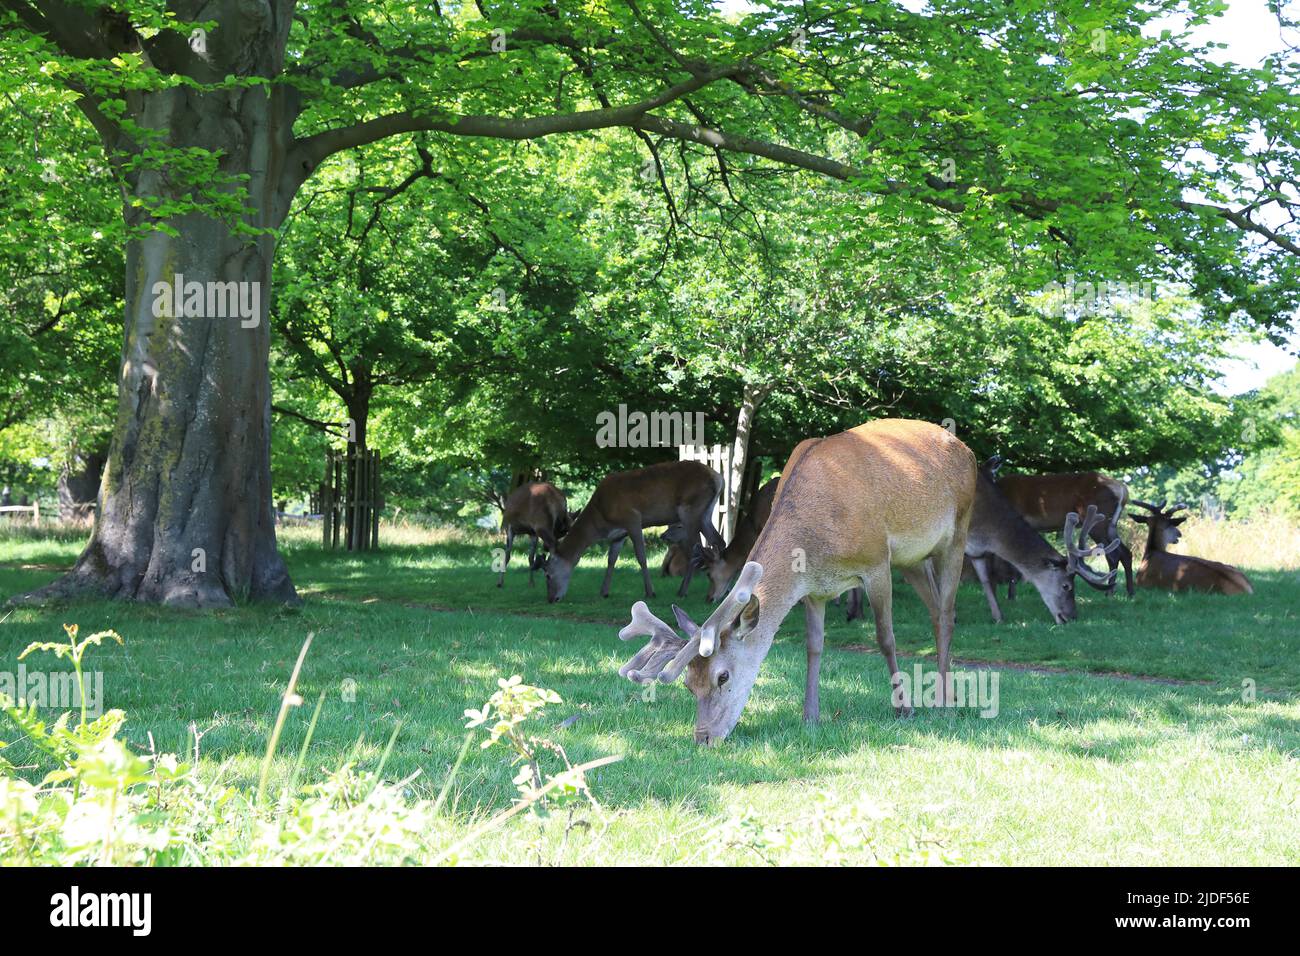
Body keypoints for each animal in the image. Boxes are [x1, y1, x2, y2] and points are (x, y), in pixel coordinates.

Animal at [542, 460, 725, 603]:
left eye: (548, 574)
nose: (551, 599)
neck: (601, 521)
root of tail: (718, 477)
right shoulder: (618, 534)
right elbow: (611, 560)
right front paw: (604, 592)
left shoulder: (632, 518)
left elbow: (641, 557)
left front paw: (650, 592)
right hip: (706, 513)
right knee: (718, 541)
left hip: (690, 509)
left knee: (697, 548)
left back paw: (682, 591)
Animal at [616, 419, 977, 745]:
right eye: (689, 684)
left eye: (723, 676)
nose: (703, 738)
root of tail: (967, 450)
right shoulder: (815, 588)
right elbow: (813, 646)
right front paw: (810, 715)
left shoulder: (876, 562)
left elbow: (885, 638)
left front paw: (904, 708)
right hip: (912, 559)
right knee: (936, 609)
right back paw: (949, 693)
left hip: (958, 531)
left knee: (947, 613)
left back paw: (943, 699)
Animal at [986, 457, 1136, 597]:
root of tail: (1123, 489)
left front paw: (1011, 595)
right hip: (1111, 525)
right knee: (1126, 553)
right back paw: (1130, 593)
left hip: (1099, 521)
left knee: (1113, 555)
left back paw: (1110, 592)